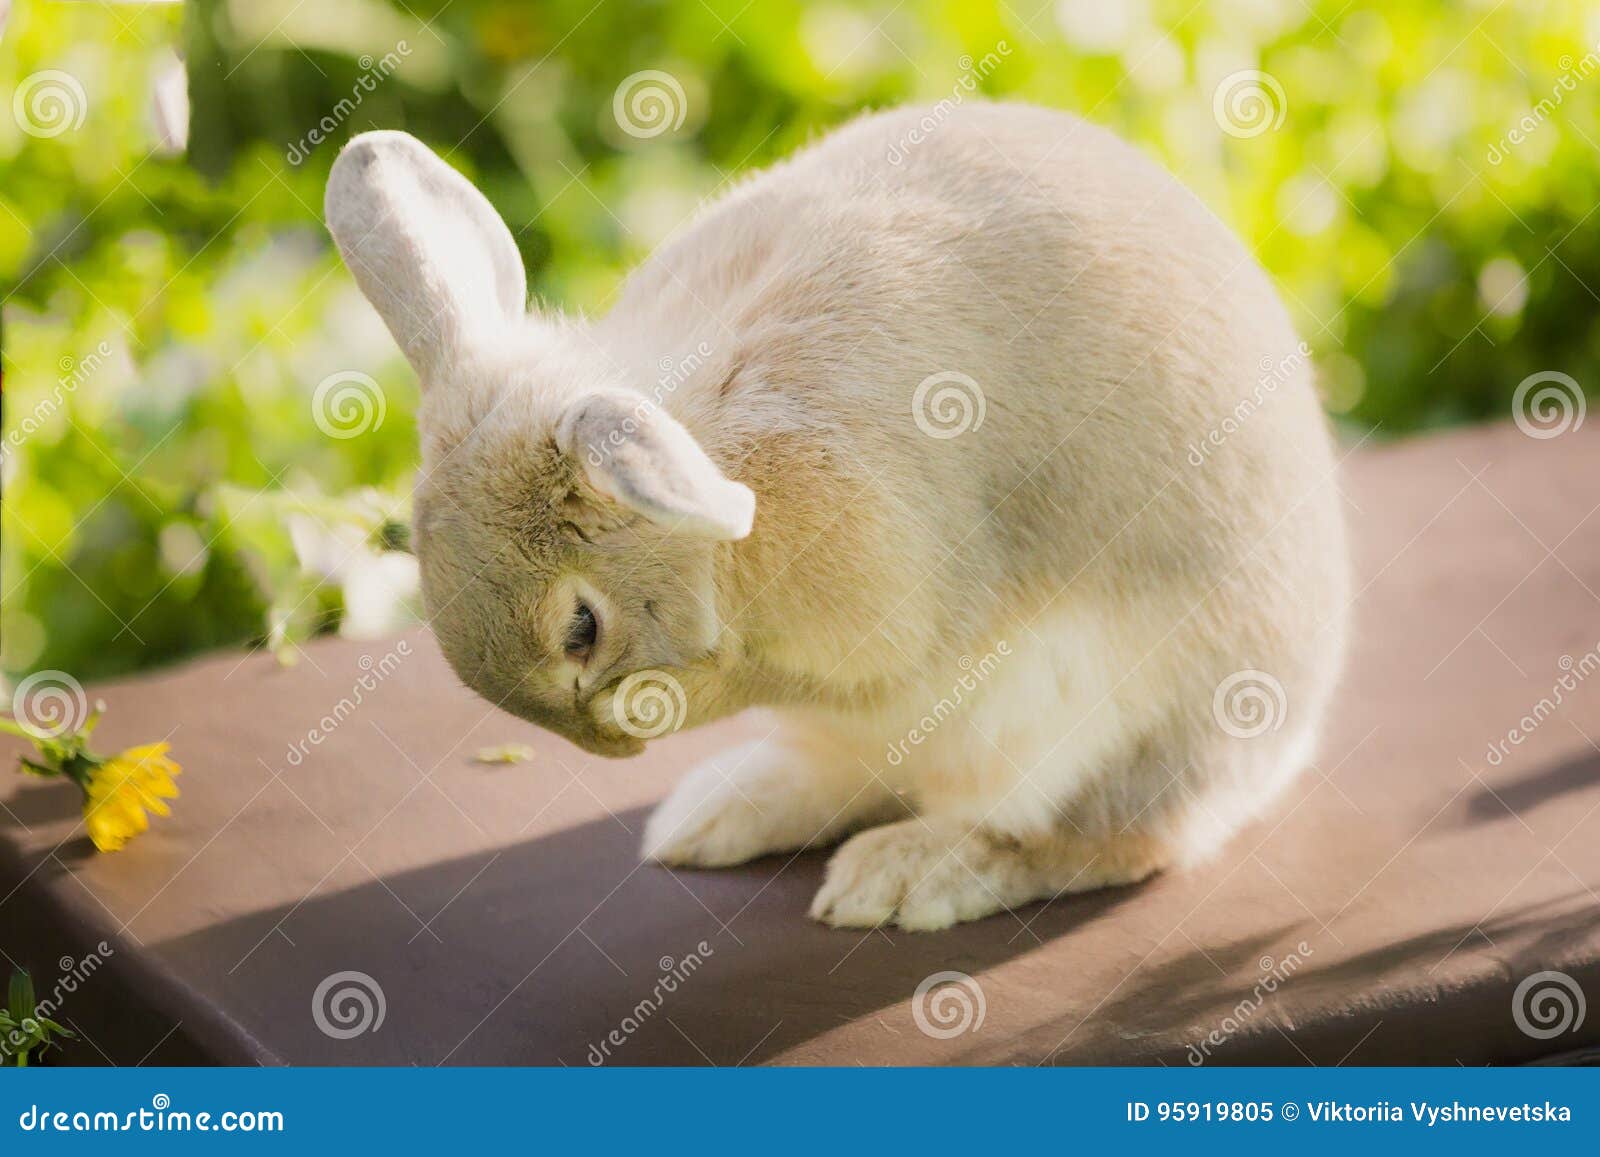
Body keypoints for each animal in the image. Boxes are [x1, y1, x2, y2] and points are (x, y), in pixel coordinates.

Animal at [324, 100, 1348, 931]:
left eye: (581, 628)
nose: (609, 748)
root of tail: (1287, 739)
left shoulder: (884, 598)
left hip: (1111, 722)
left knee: (1099, 837)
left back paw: (908, 878)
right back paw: (716, 814)